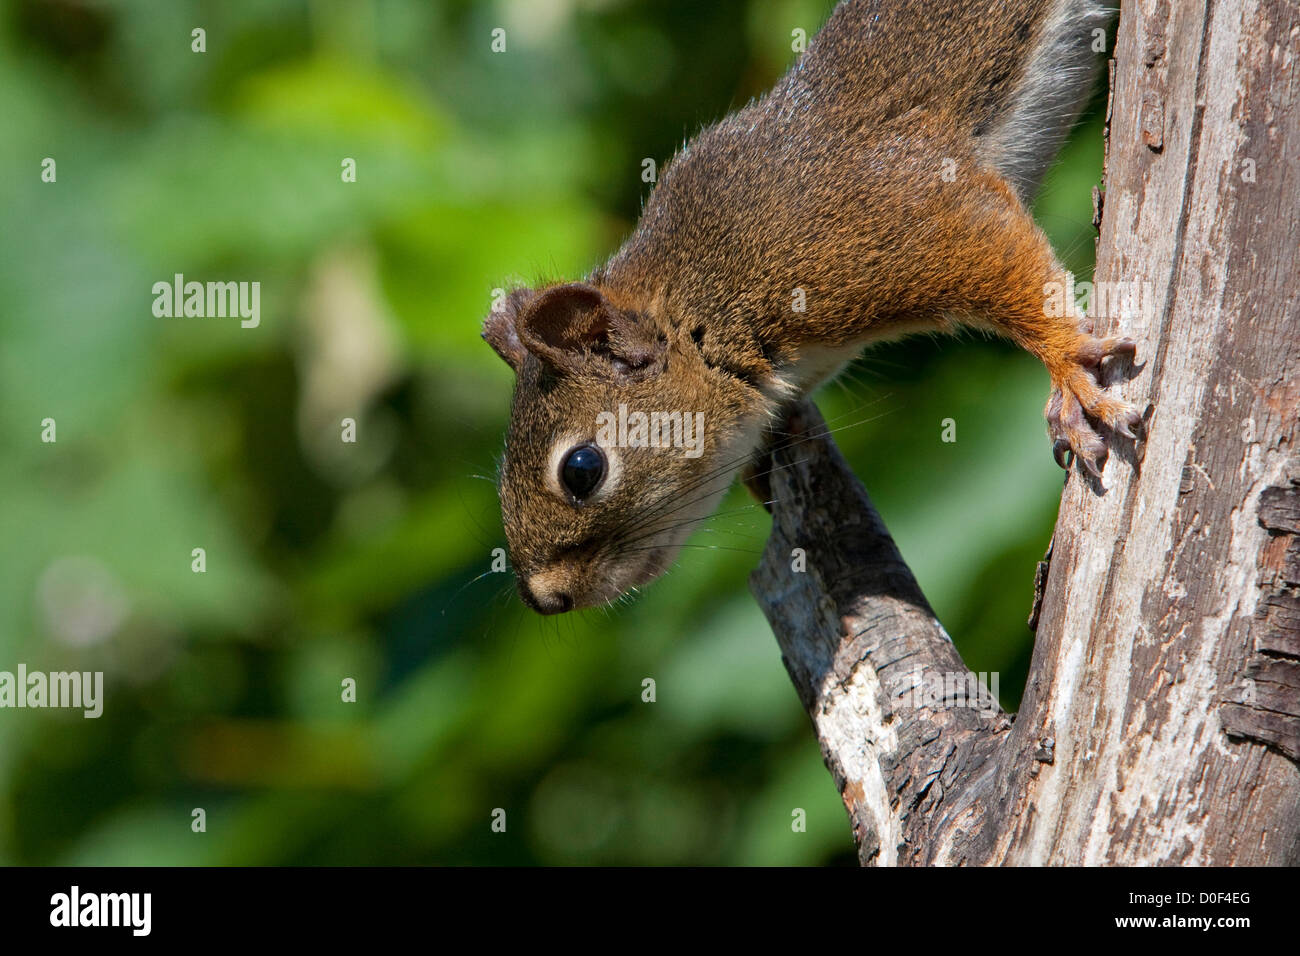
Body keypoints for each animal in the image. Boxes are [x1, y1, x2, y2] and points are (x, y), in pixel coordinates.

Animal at [483, 0, 1142, 615]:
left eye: (581, 470)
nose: (544, 599)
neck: (708, 296)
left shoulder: (893, 220)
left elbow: (1004, 266)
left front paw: (1067, 365)